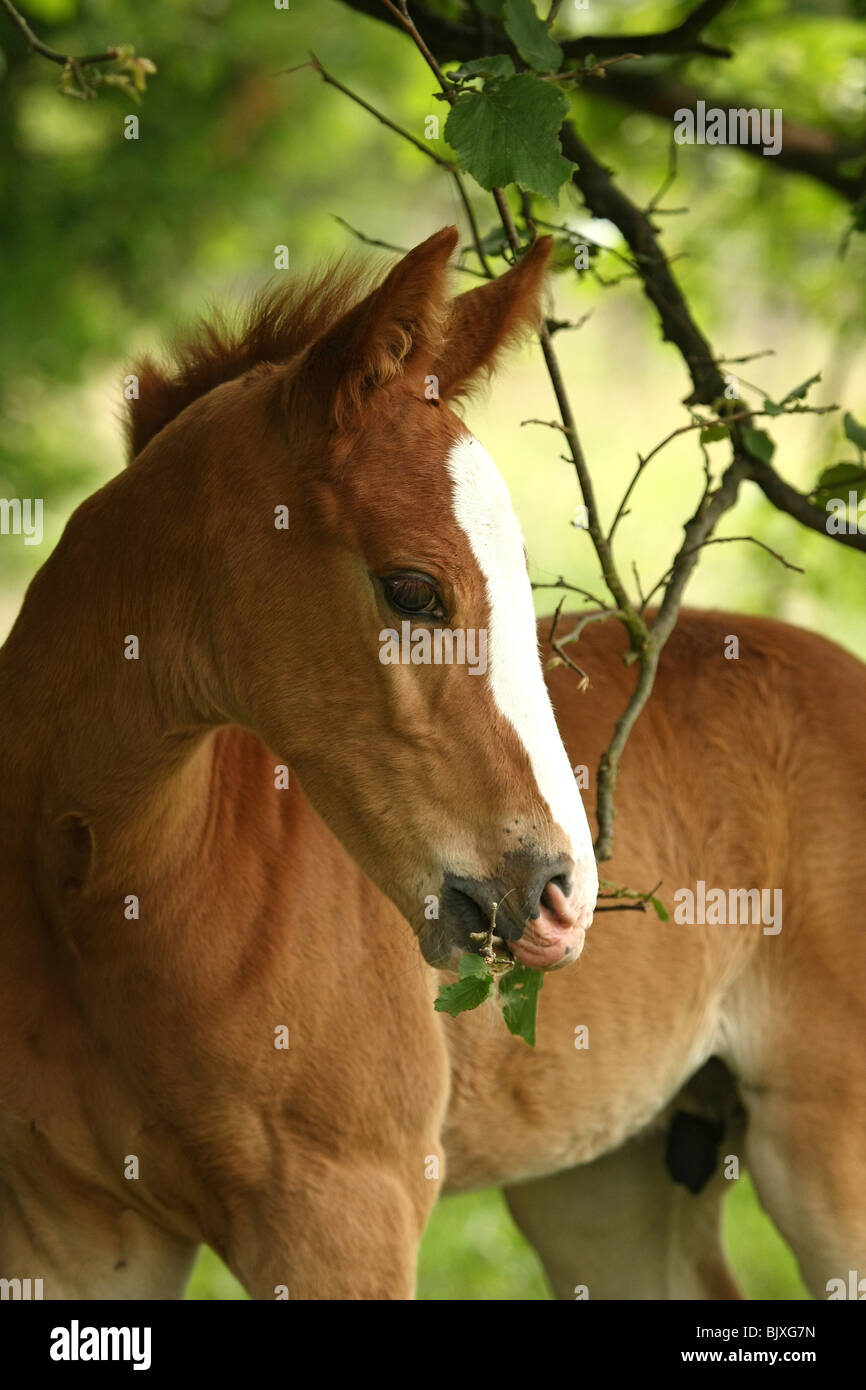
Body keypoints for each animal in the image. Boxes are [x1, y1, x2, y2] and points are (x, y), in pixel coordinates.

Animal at [0, 227, 863, 1300]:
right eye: (412, 589)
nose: (561, 892)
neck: (96, 885)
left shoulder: (343, 1210)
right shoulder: (67, 1231)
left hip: (824, 1142)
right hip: (605, 1183)